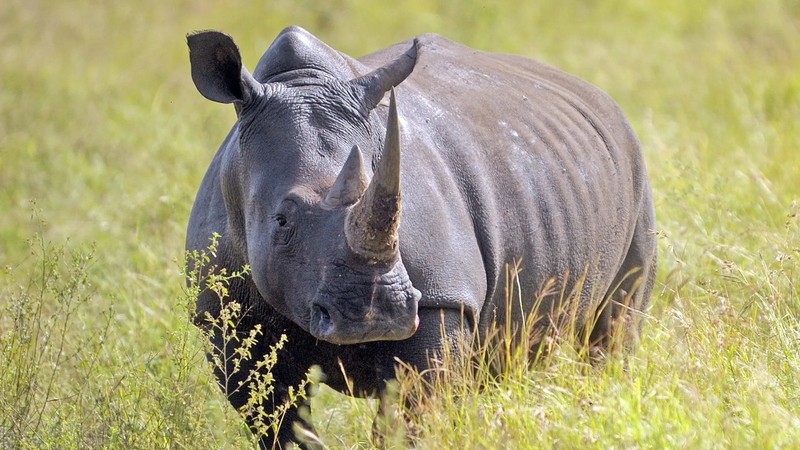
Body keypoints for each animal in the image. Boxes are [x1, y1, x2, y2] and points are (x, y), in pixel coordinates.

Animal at [186, 25, 656, 448]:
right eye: (281, 222)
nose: (376, 317)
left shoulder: (441, 296)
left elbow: (411, 410)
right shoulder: (223, 317)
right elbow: (276, 419)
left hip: (632, 169)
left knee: (614, 327)